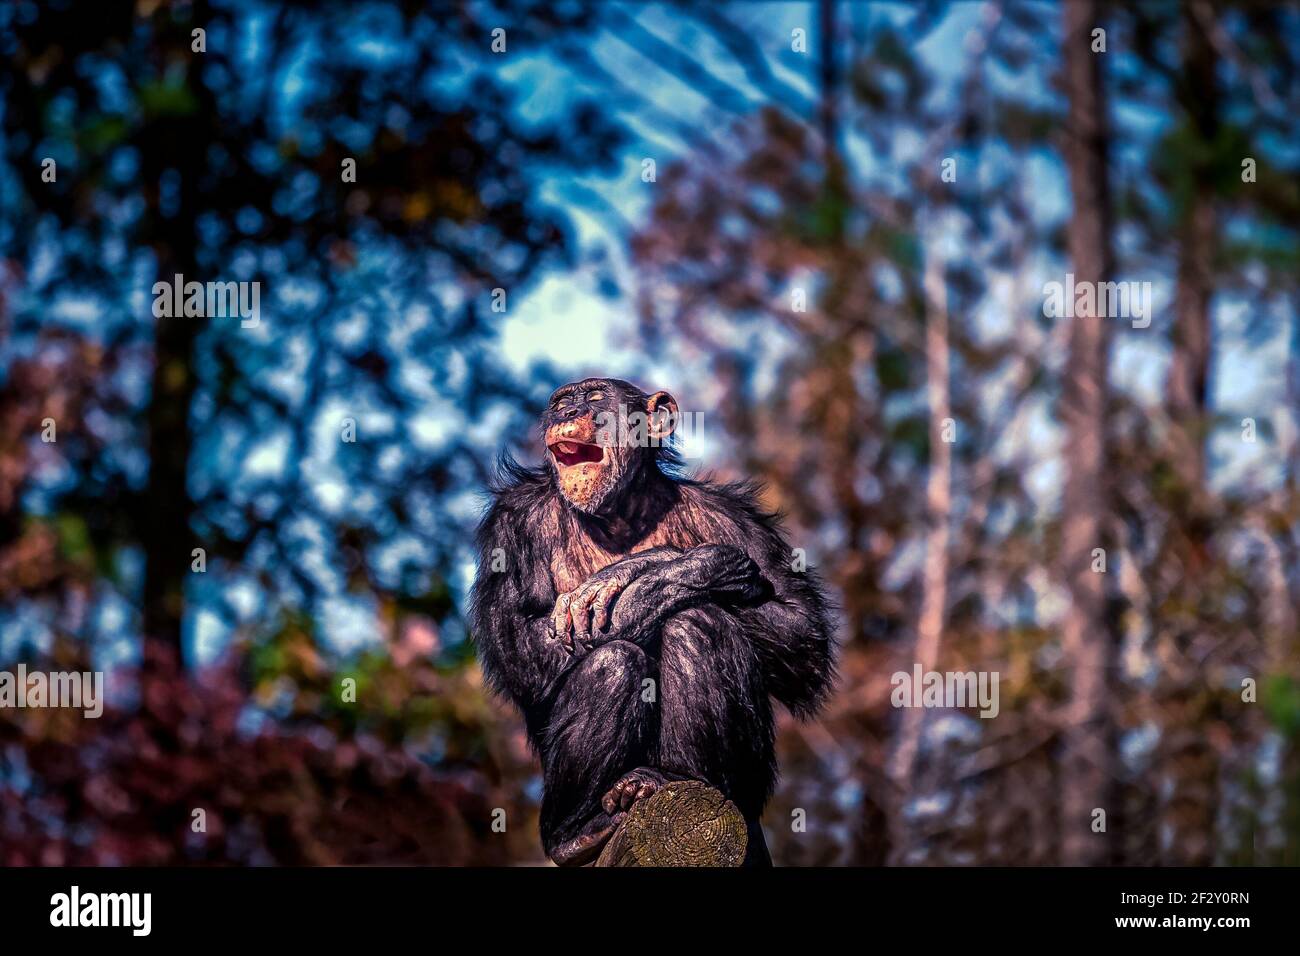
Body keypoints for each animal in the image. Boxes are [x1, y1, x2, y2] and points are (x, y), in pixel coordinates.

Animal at [470, 377, 835, 866]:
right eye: (562, 401)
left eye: (593, 397)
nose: (567, 411)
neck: (620, 511)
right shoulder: (512, 523)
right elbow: (521, 649)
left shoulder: (730, 516)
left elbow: (801, 631)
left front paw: (651, 567)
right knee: (614, 662)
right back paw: (578, 830)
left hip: (752, 786)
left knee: (697, 621)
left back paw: (679, 780)